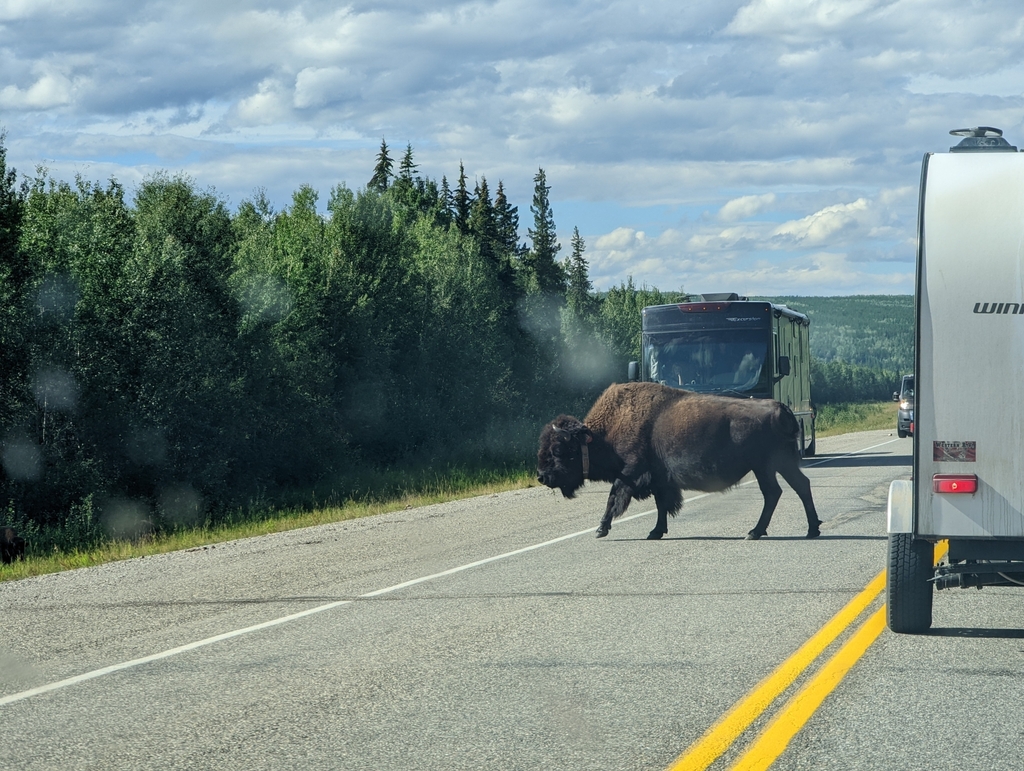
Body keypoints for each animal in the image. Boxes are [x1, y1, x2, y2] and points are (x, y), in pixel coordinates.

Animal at [536, 382, 821, 540]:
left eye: (558, 449)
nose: (541, 476)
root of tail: (780, 408)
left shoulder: (631, 472)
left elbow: (614, 498)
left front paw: (601, 529)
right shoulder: (659, 481)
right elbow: (662, 505)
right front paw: (655, 532)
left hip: (766, 467)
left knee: (774, 492)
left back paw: (754, 532)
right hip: (781, 464)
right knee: (800, 486)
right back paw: (811, 529)